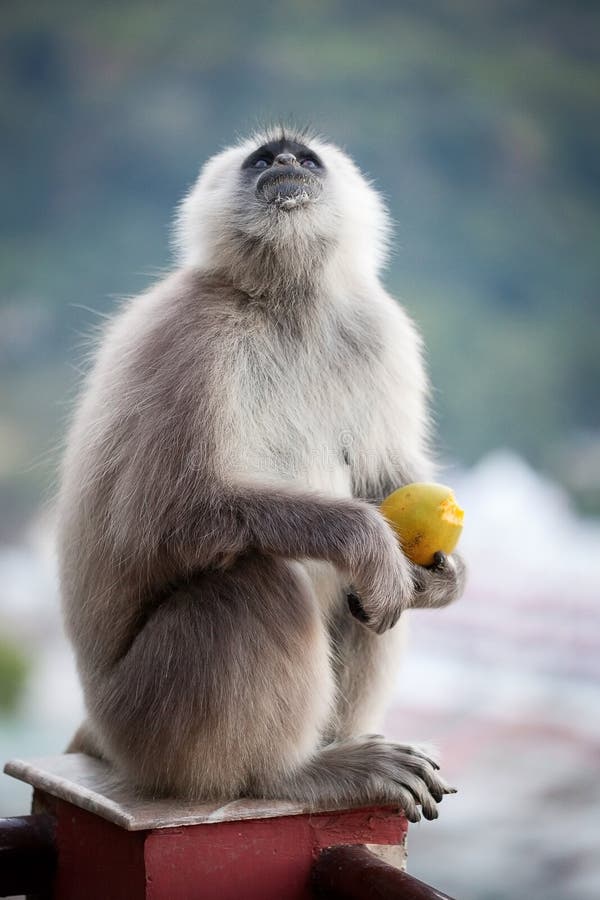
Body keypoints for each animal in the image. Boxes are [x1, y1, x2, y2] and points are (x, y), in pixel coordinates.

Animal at [57, 127, 466, 823]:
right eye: (263, 160)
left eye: (304, 160)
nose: (284, 165)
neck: (286, 305)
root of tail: (102, 730)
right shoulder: (191, 337)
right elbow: (163, 517)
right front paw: (367, 540)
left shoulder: (377, 329)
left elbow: (383, 480)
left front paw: (445, 575)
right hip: (149, 722)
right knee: (253, 583)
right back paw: (292, 773)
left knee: (360, 600)